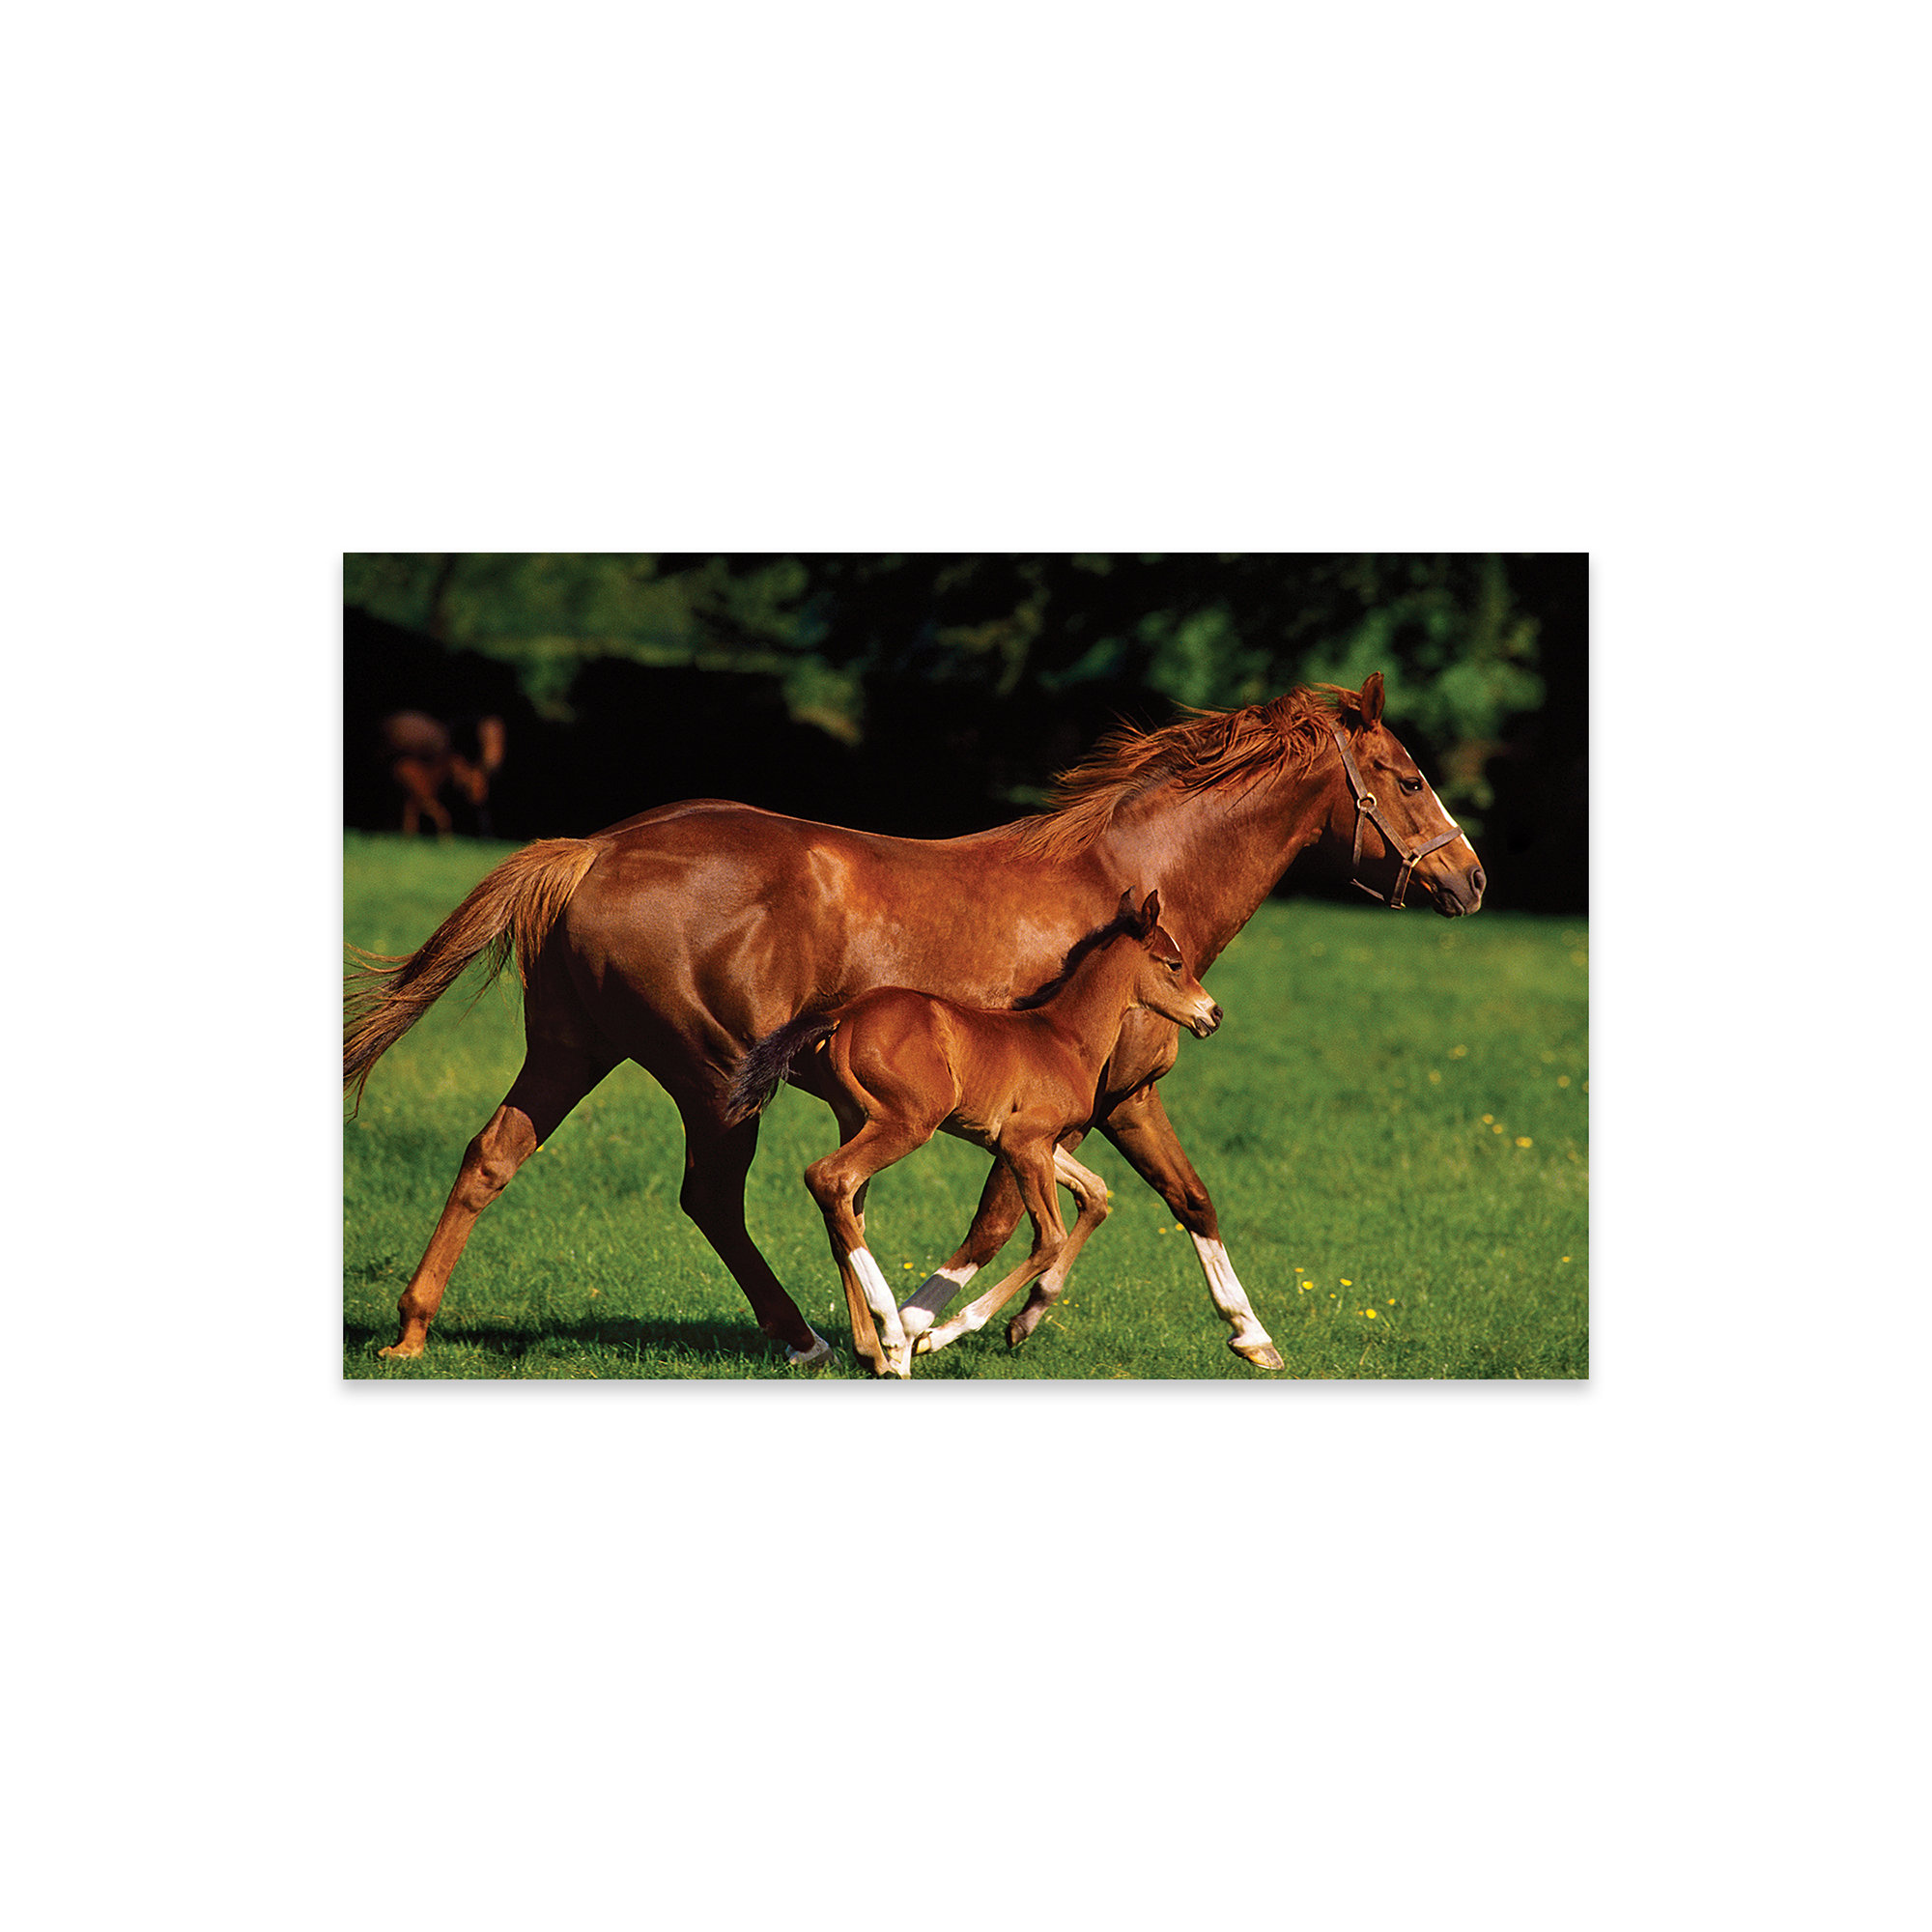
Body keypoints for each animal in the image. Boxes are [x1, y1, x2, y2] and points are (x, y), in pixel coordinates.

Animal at [722, 890, 1221, 1376]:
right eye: (1174, 964)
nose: (1213, 1014)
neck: (1065, 1038)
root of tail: (845, 1014)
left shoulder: (1032, 1145)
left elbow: (1096, 1193)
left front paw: (1018, 1318)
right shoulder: (1025, 1143)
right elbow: (1050, 1237)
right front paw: (936, 1335)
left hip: (856, 1121)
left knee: (845, 1208)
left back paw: (875, 1354)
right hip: (908, 1123)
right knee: (828, 1178)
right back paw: (891, 1332)